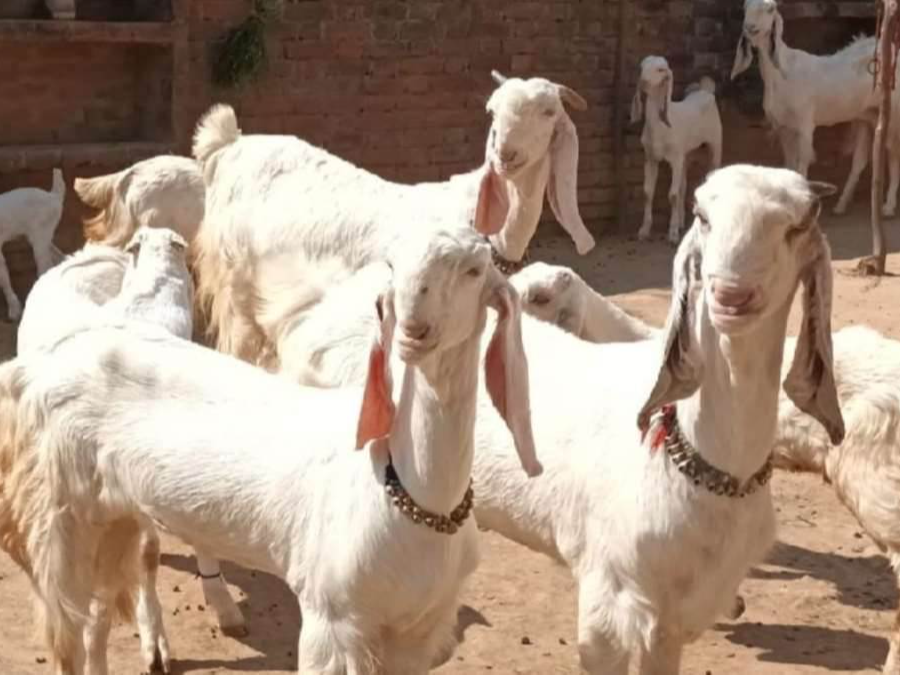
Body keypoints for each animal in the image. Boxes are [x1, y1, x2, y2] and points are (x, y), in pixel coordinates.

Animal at [0, 168, 66, 321]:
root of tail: (53, 196)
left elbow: (3, 277)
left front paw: (14, 310)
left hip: (40, 237)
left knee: (45, 266)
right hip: (39, 236)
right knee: (59, 257)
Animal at [0, 224, 541, 674]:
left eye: (473, 270)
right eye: (393, 265)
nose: (413, 331)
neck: (417, 498)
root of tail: (37, 366)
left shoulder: (417, 629)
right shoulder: (332, 616)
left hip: (110, 515)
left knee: (96, 615)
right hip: (57, 515)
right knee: (68, 630)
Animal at [630, 56, 722, 244]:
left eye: (660, 70)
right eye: (642, 67)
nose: (642, 83)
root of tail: (706, 90)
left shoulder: (675, 158)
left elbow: (671, 195)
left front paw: (672, 234)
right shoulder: (651, 158)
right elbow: (647, 193)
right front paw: (644, 230)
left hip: (715, 143)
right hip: (686, 154)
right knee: (683, 186)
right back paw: (680, 222)